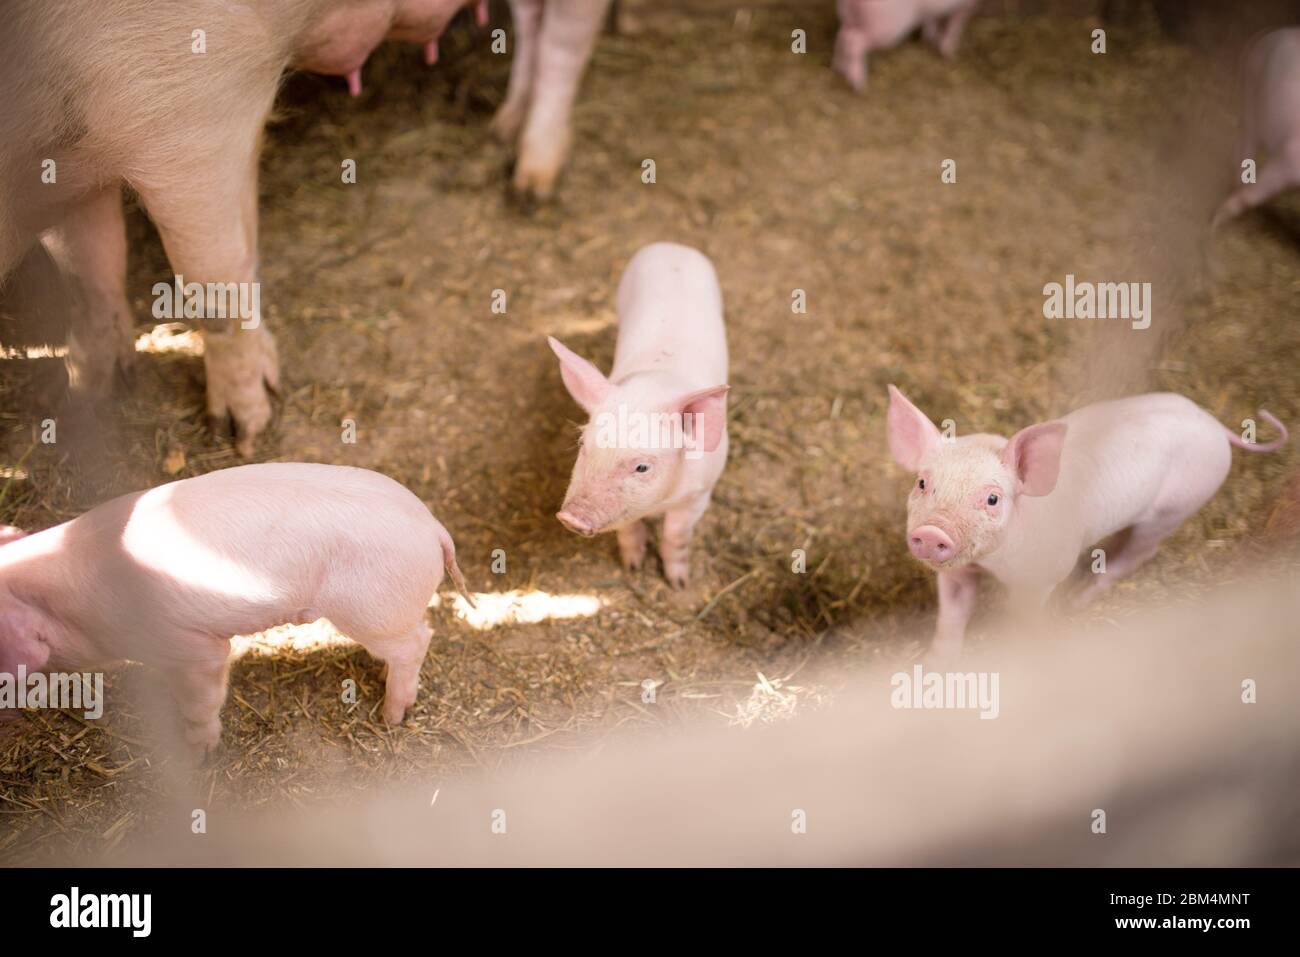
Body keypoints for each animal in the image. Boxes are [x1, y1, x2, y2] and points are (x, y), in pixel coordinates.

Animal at [0, 463, 473, 753]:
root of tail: (432, 527)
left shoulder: (187, 643)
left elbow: (204, 695)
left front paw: (199, 752)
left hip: (375, 611)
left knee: (418, 640)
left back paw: (393, 715)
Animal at [549, 242, 729, 588]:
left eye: (642, 467)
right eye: (583, 445)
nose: (570, 517)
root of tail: (673, 246)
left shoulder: (700, 494)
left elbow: (677, 535)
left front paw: (679, 583)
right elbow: (628, 528)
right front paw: (632, 566)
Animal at [833, 0, 980, 92]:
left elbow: (931, 20)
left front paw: (930, 38)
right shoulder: (966, 6)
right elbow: (956, 24)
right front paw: (948, 53)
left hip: (849, 17)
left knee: (842, 35)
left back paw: (840, 69)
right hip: (886, 27)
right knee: (854, 42)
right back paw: (860, 86)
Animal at [885, 387, 1288, 657]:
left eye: (992, 499)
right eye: (922, 483)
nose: (931, 531)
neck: (993, 563)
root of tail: (1216, 427)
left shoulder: (1045, 573)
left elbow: (1023, 614)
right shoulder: (958, 572)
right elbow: (953, 613)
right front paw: (937, 663)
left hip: (1176, 507)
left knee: (1142, 551)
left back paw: (1078, 601)